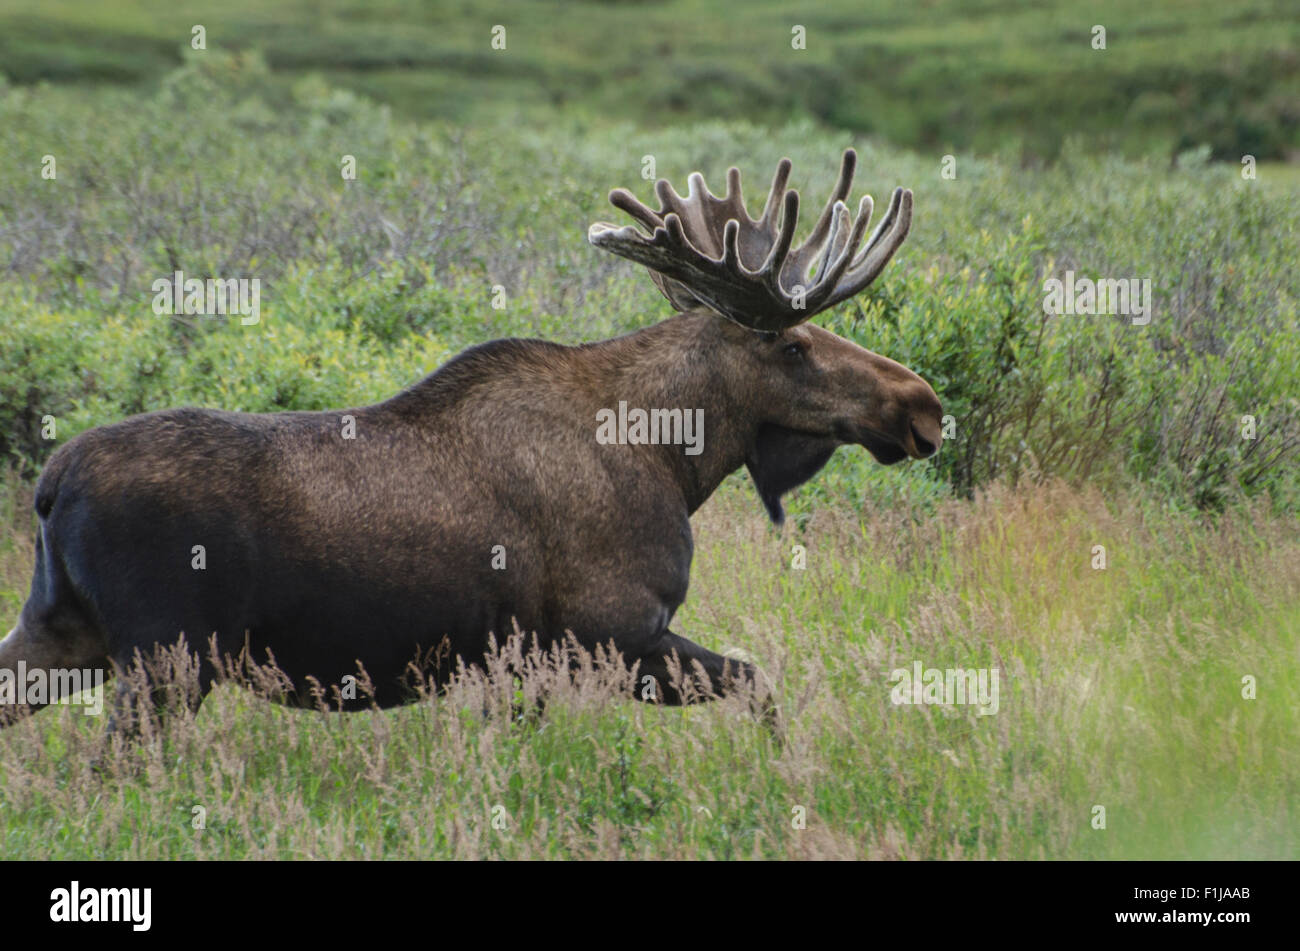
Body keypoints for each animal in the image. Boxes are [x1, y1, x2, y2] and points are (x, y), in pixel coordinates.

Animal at [0, 149, 942, 733]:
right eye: (794, 344)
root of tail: (52, 482)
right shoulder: (613, 633)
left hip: (63, 633)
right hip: (166, 658)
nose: (923, 405)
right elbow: (763, 687)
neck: (677, 461)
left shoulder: (523, 662)